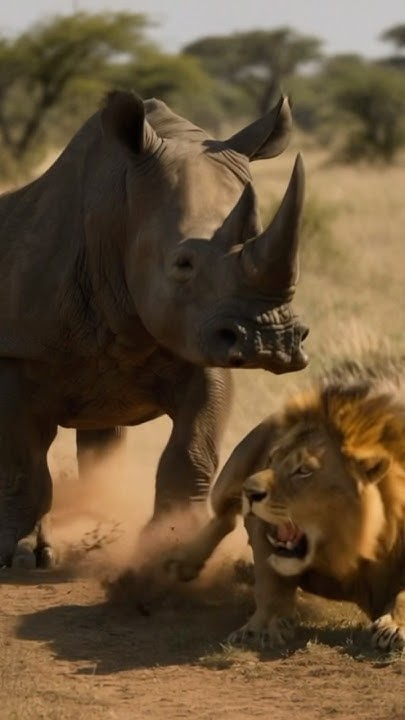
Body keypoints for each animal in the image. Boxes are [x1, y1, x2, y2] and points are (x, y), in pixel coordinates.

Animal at [0, 90, 308, 567]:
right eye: (183, 263)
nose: (270, 341)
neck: (118, 216)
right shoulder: (17, 348)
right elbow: (22, 461)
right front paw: (25, 555)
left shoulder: (204, 339)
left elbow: (193, 446)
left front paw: (174, 543)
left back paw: (100, 515)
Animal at [167, 355, 405, 652]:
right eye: (271, 460)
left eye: (303, 471)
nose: (250, 491)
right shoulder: (261, 530)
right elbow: (269, 583)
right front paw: (260, 629)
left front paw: (393, 626)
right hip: (233, 469)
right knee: (223, 517)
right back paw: (185, 563)